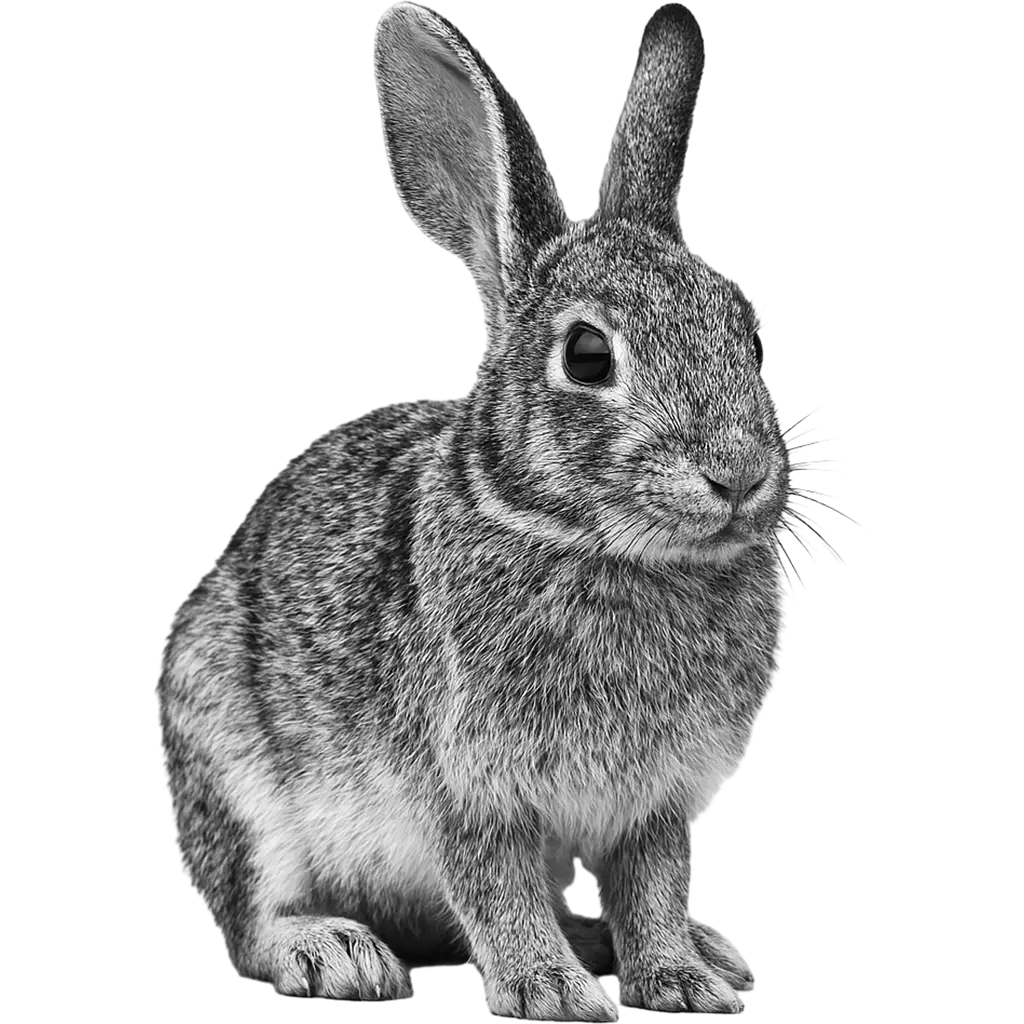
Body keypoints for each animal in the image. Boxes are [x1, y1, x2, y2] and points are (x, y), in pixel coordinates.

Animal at [154, 1, 791, 1018]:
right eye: (586, 356)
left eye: (750, 328)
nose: (737, 474)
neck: (593, 543)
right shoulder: (466, 788)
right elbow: (494, 886)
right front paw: (550, 992)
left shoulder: (659, 802)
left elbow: (652, 887)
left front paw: (679, 979)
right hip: (233, 770)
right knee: (249, 922)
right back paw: (333, 952)